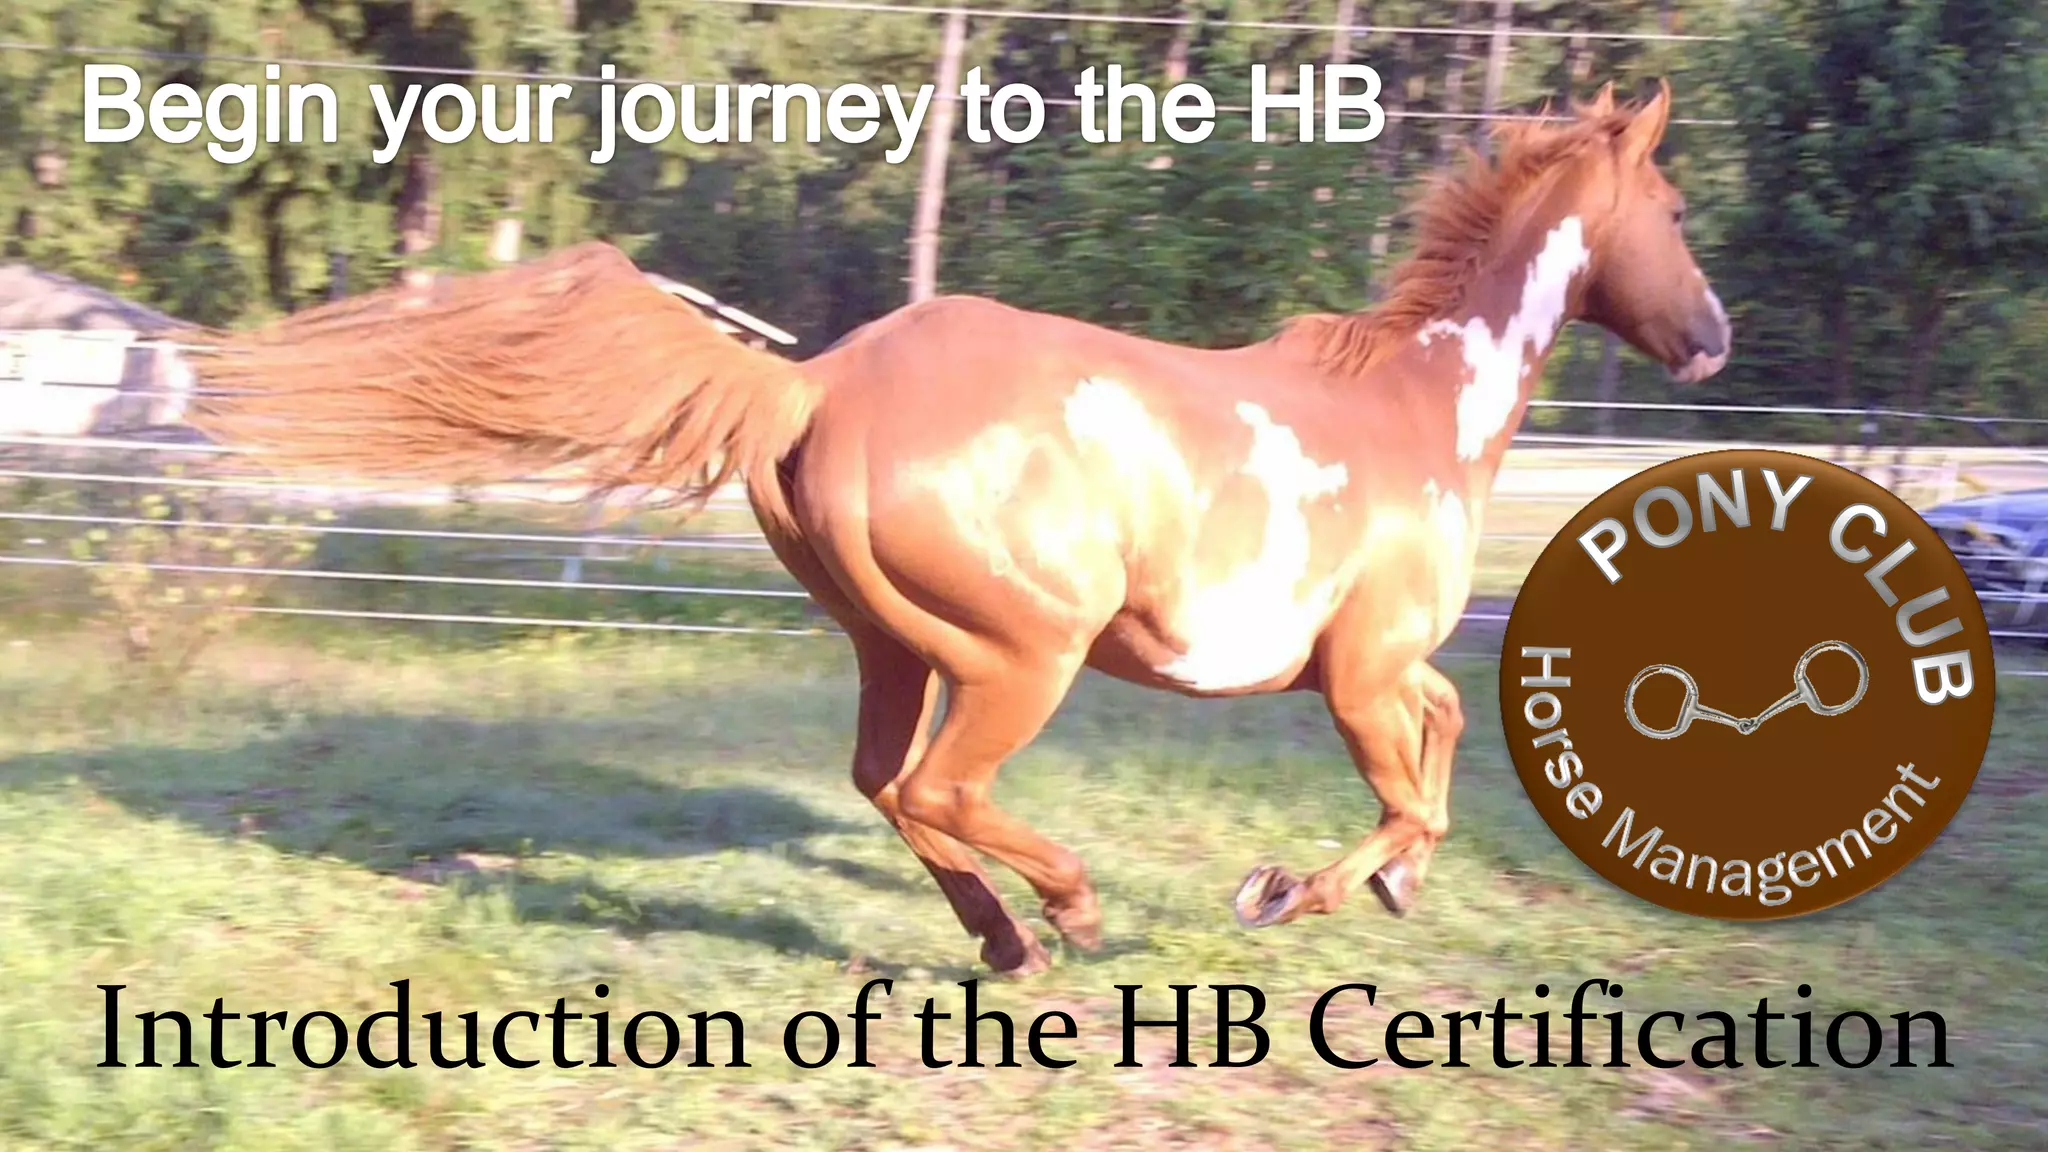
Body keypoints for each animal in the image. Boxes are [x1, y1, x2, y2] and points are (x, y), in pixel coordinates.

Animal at [184, 79, 1731, 978]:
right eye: (1669, 203)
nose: (1713, 336)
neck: (1420, 410)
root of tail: (817, 383)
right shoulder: (1354, 677)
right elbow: (1407, 791)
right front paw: (1282, 894)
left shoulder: (1384, 669)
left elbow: (1444, 748)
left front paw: (1396, 885)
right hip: (1020, 658)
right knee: (940, 789)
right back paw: (1072, 917)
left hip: (894, 646)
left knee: (889, 787)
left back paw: (1011, 943)